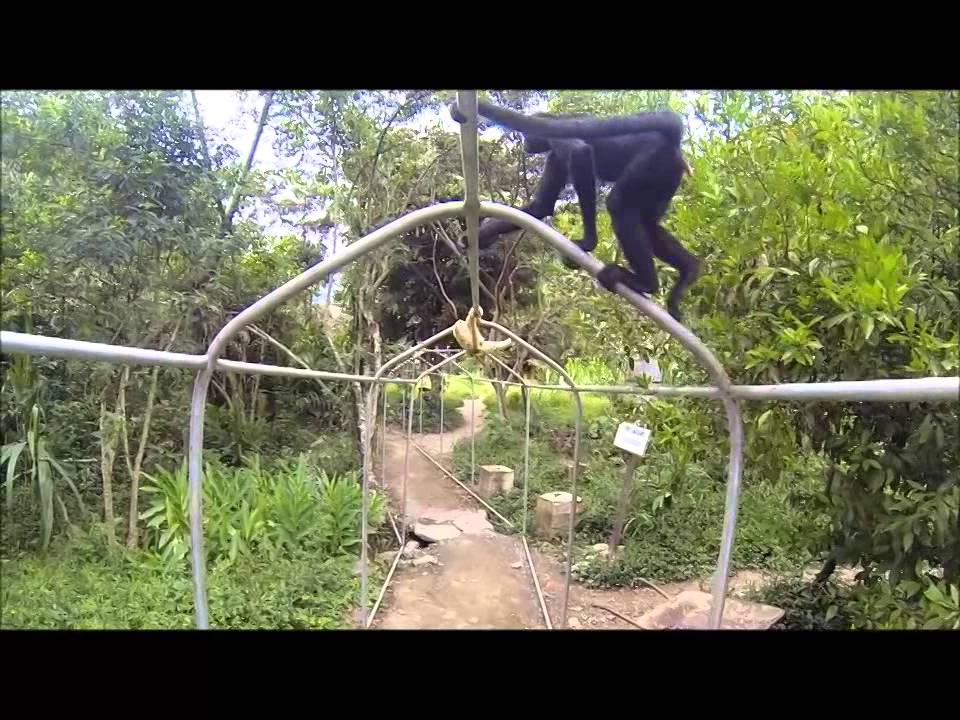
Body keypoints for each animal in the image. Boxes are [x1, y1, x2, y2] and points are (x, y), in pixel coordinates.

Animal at [450, 100, 699, 322]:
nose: (526, 143)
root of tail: (670, 144)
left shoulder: (558, 141)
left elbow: (580, 152)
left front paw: (589, 242)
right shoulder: (554, 154)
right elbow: (542, 205)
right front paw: (478, 237)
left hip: (650, 162)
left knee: (619, 204)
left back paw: (646, 283)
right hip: (664, 177)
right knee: (648, 223)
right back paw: (689, 270)